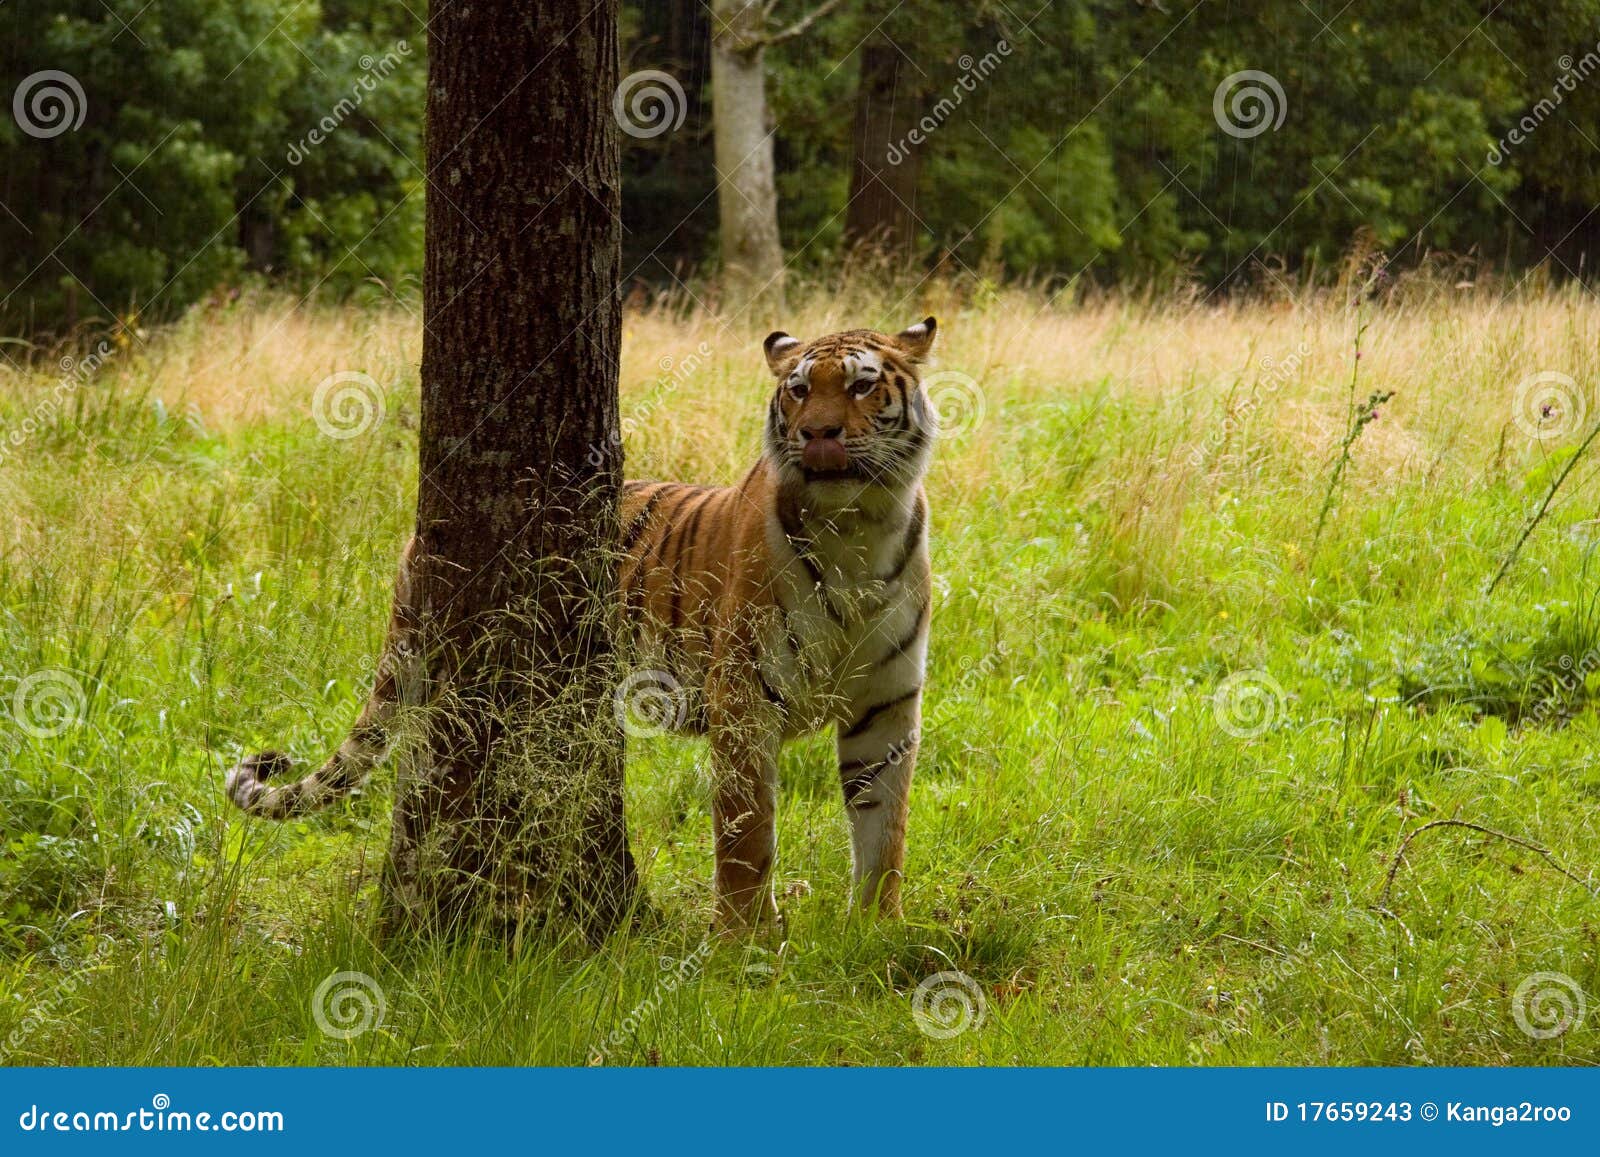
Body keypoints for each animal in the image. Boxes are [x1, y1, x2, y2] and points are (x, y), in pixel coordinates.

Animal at [226, 317, 940, 929]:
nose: (818, 433)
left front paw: (877, 928)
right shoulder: (745, 699)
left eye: (861, 385)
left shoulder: (887, 706)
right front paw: (745, 942)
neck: (856, 530)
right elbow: (747, 837)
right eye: (798, 391)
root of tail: (417, 539)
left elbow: (885, 829)